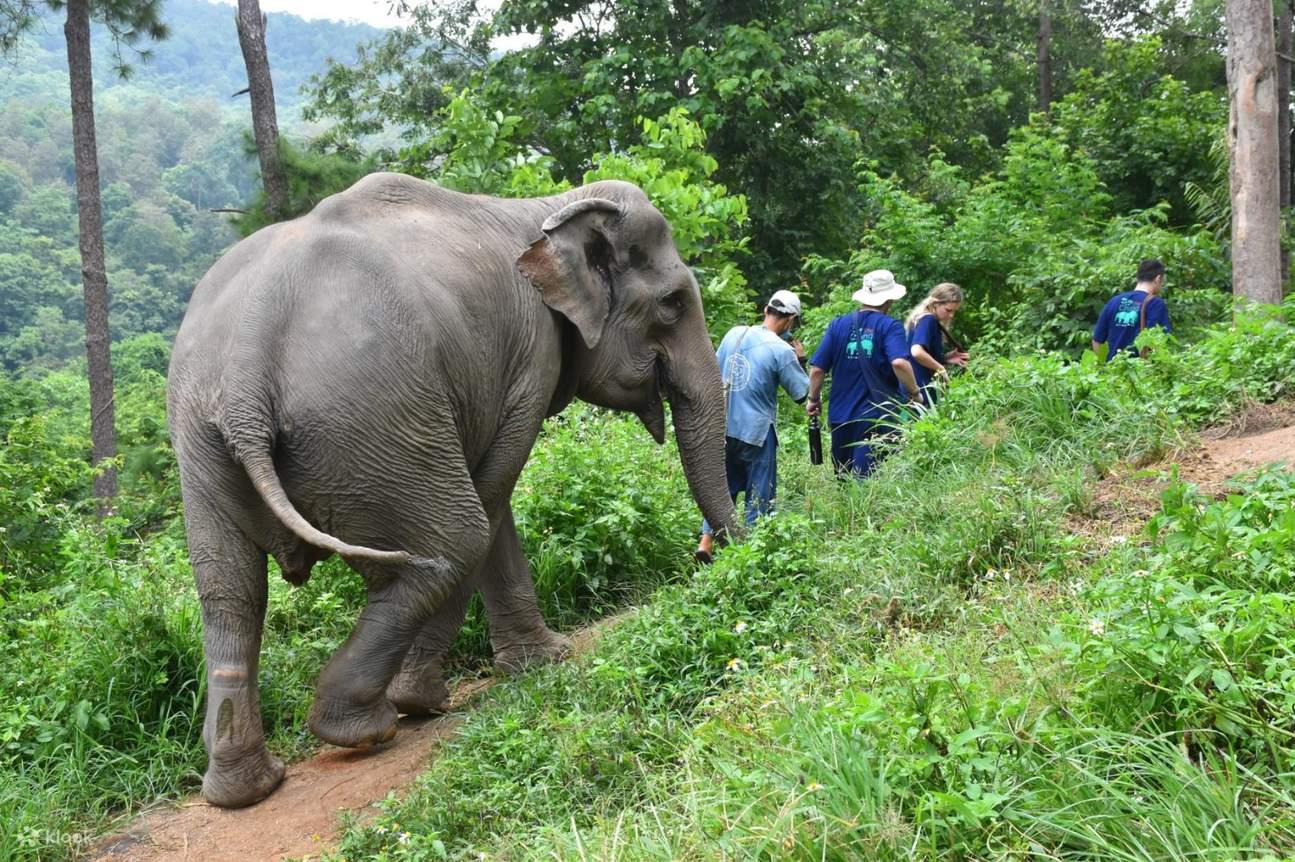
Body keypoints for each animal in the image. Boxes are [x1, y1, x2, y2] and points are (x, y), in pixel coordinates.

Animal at [166, 172, 742, 808]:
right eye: (672, 304)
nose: (716, 558)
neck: (545, 211)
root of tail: (246, 372)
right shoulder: (533, 354)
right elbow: (491, 496)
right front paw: (428, 698)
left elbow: (497, 499)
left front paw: (539, 662)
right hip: (373, 424)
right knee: (452, 539)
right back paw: (361, 727)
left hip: (204, 446)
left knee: (231, 593)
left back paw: (246, 789)